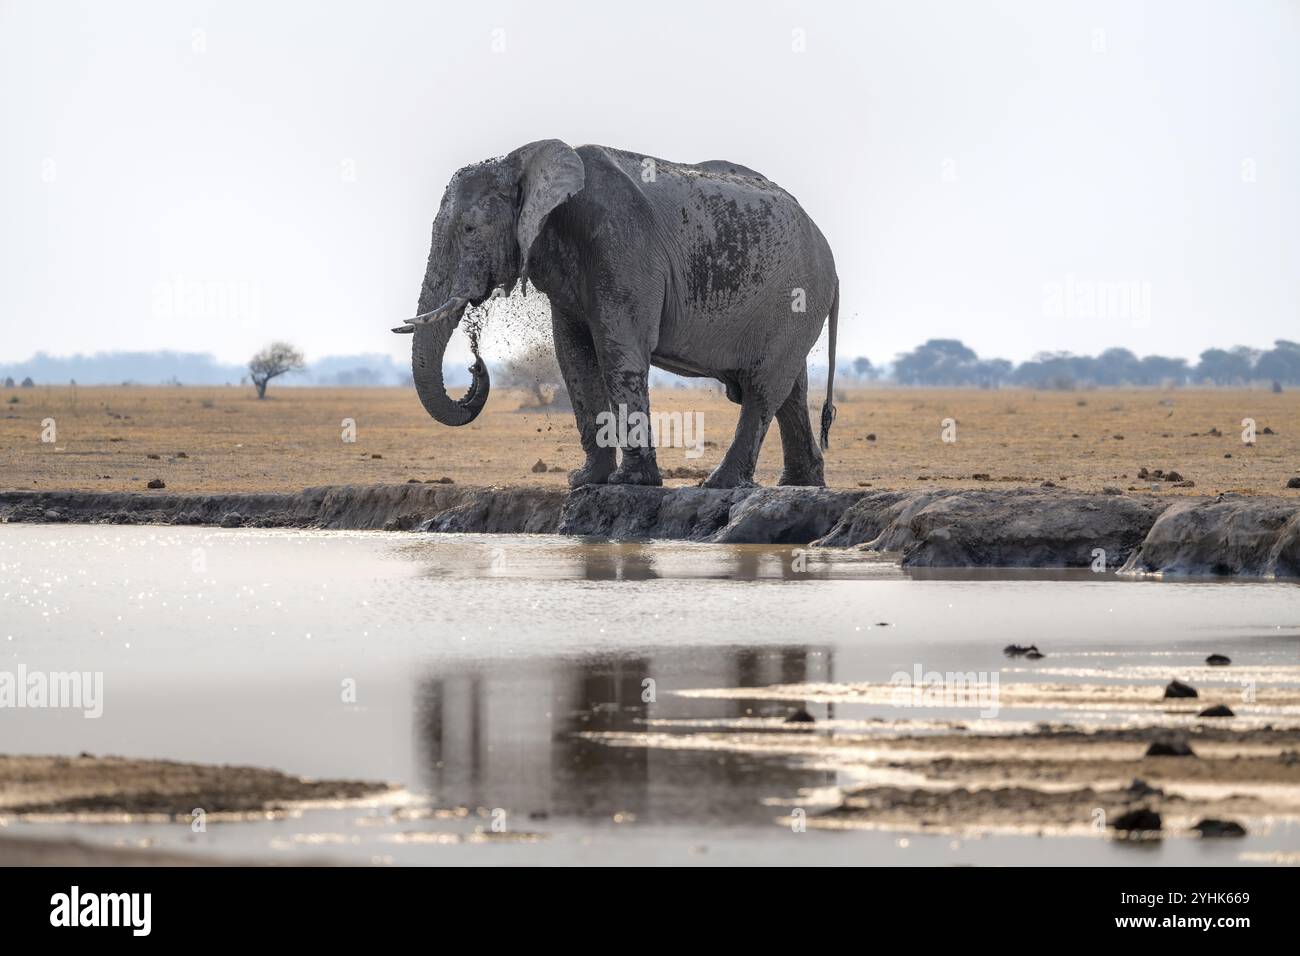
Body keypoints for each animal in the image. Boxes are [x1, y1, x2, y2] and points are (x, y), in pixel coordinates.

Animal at [393, 139, 840, 489]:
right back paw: (800, 484)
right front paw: (585, 481)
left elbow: (616, 353)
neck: (523, 160)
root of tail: (830, 256)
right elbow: (574, 358)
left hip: (797, 297)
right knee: (791, 391)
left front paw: (631, 483)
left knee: (764, 388)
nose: (474, 365)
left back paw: (720, 484)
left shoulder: (621, 244)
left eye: (469, 230)